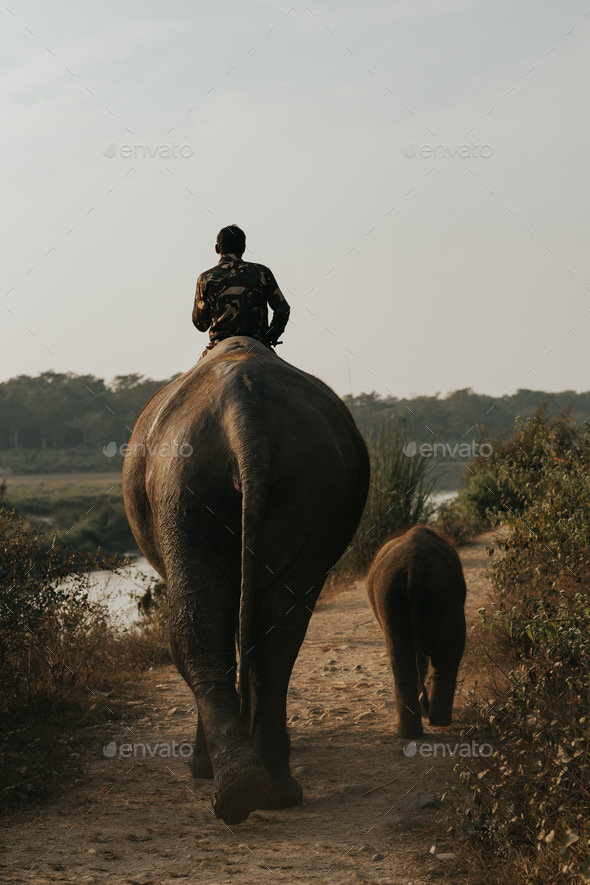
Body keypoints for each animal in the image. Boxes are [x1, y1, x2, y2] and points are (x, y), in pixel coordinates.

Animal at [122, 337, 369, 824]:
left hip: (179, 488)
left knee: (197, 628)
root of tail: (244, 412)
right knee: (281, 630)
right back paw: (267, 787)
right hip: (312, 486)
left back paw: (230, 785)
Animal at [366, 525, 466, 739]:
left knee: (405, 661)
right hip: (440, 595)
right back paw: (435, 721)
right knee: (445, 655)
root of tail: (415, 571)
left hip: (394, 597)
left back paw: (415, 730)